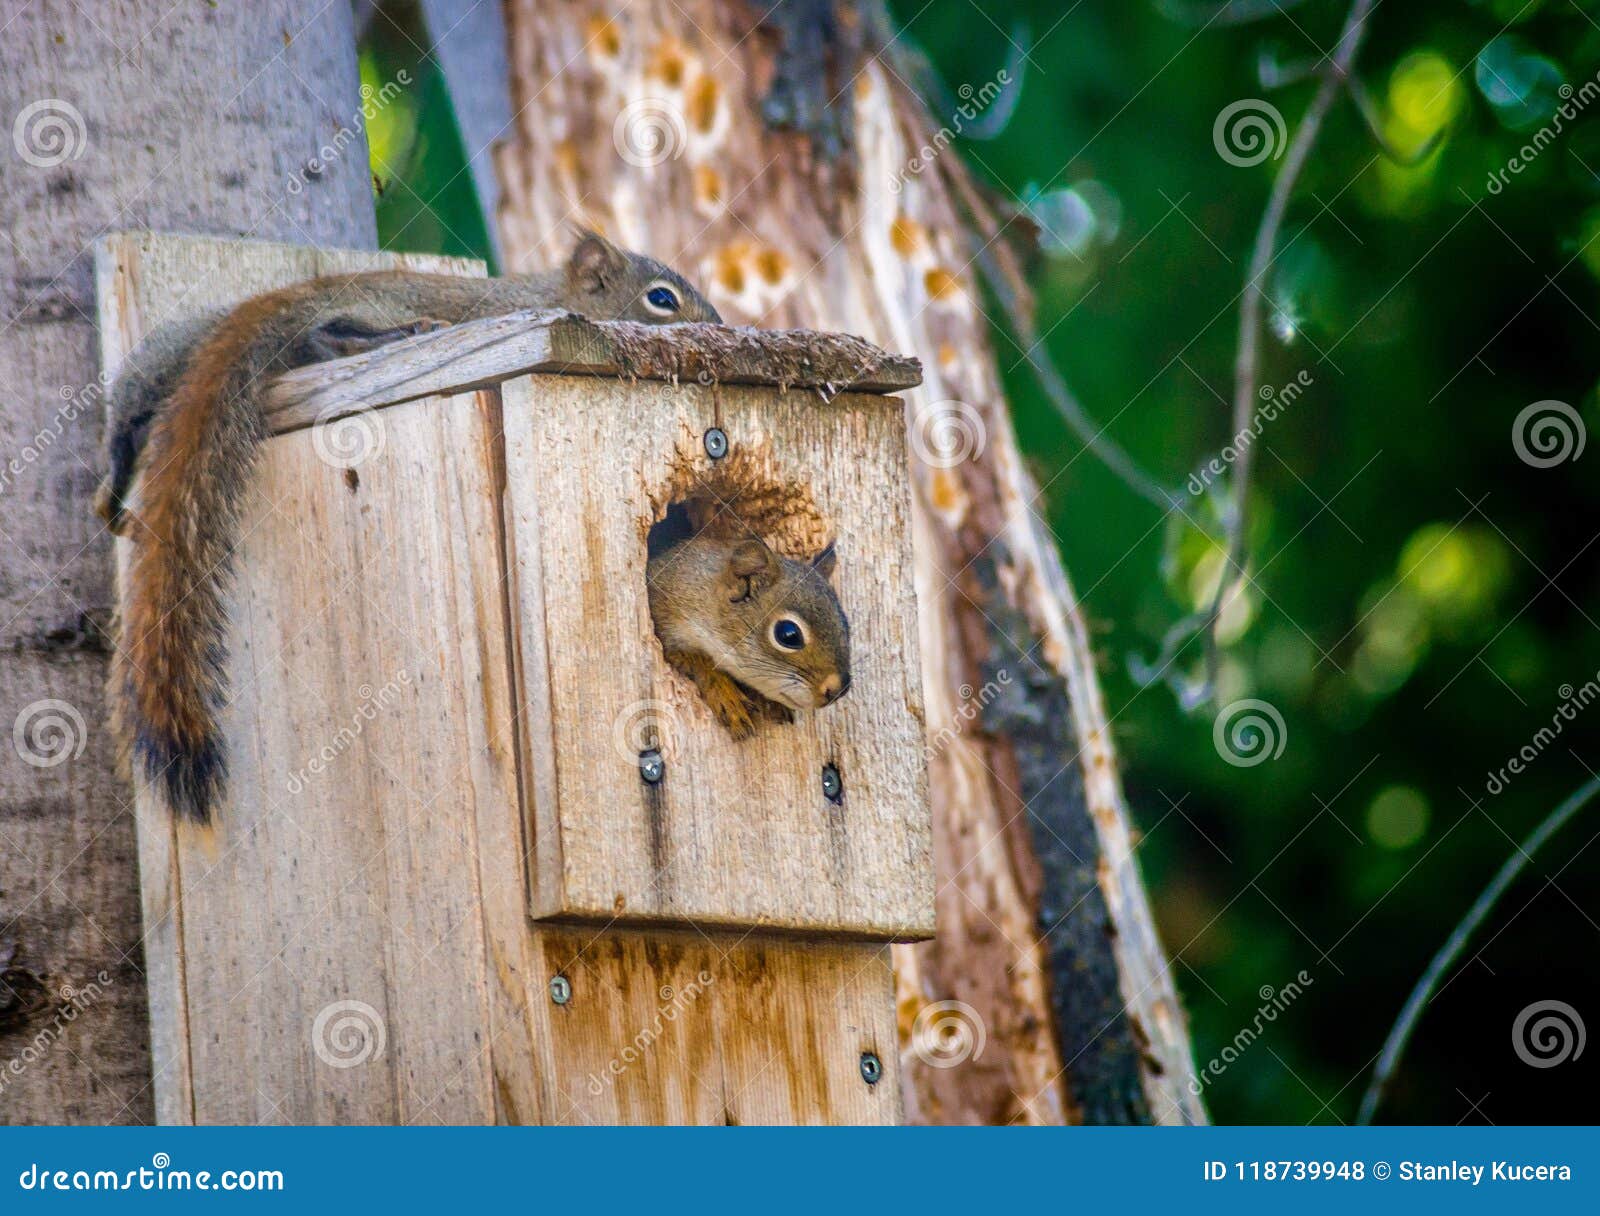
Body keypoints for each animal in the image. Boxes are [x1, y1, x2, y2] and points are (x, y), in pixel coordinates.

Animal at [647, 523, 851, 739]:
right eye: (789, 635)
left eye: (846, 626)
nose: (838, 691)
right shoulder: (665, 623)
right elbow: (699, 663)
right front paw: (728, 698)